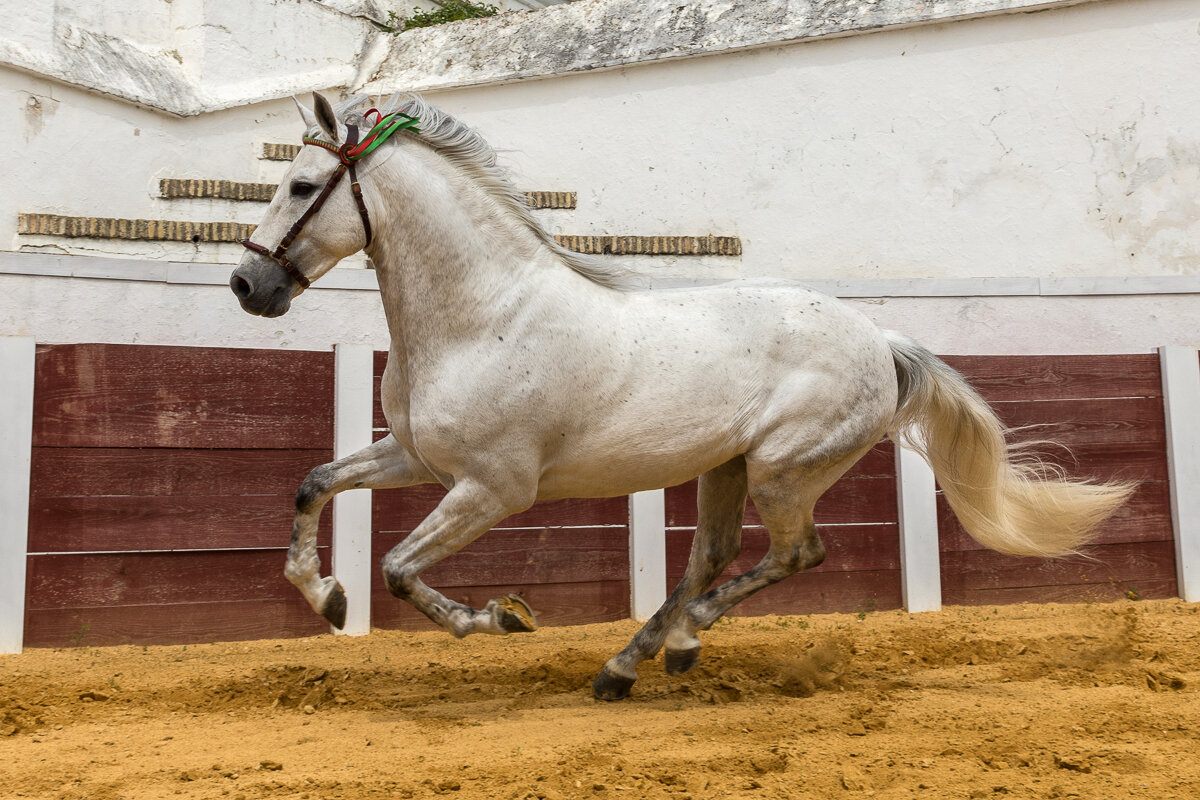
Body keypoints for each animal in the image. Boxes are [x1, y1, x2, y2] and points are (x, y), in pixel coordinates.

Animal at [229, 92, 1133, 701]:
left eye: (303, 186)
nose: (247, 285)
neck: (484, 314)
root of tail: (881, 339)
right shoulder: (417, 458)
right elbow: (315, 483)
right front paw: (324, 597)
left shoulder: (491, 489)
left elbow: (397, 568)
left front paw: (499, 618)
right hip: (726, 468)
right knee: (711, 555)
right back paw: (625, 666)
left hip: (782, 469)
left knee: (795, 555)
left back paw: (682, 643)